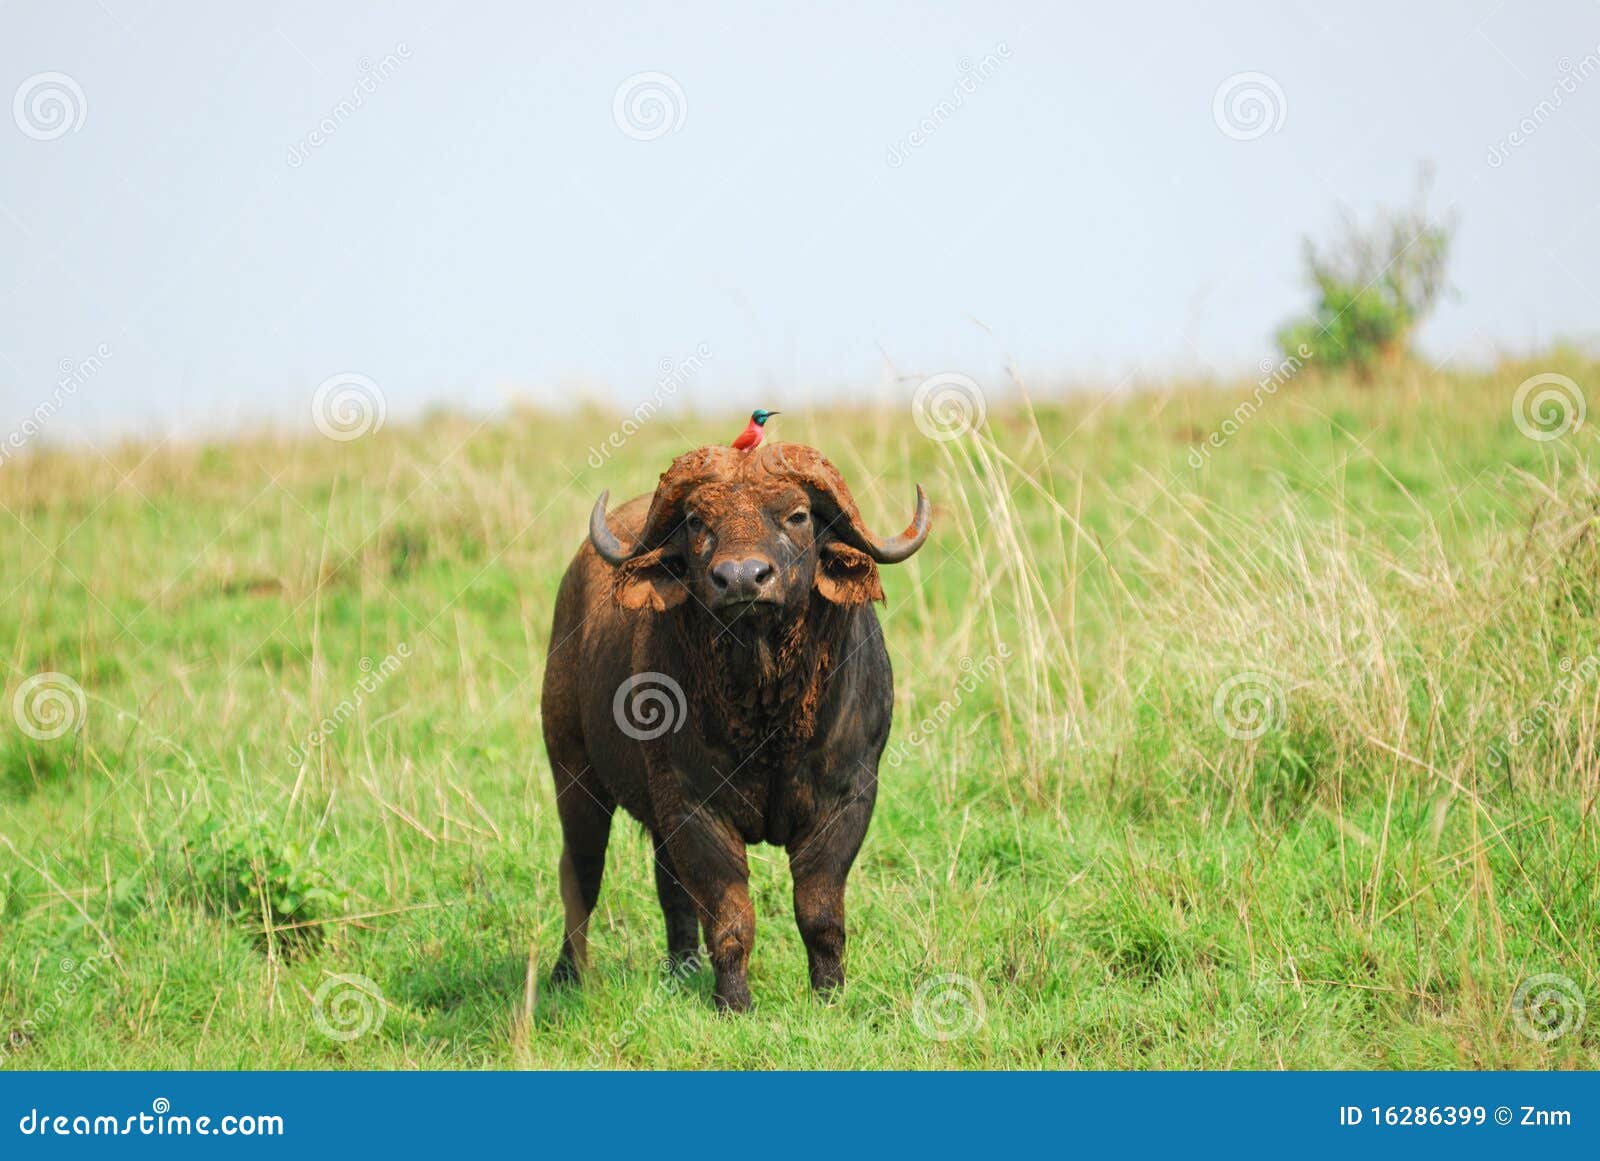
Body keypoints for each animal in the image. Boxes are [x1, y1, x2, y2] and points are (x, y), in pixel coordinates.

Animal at [541, 441, 931, 1010]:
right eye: (697, 521)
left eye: (797, 515)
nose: (743, 578)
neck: (767, 718)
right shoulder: (692, 806)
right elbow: (729, 915)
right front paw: (734, 1003)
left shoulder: (848, 797)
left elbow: (819, 910)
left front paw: (830, 994)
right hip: (573, 774)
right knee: (582, 877)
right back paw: (567, 975)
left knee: (669, 889)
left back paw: (680, 969)